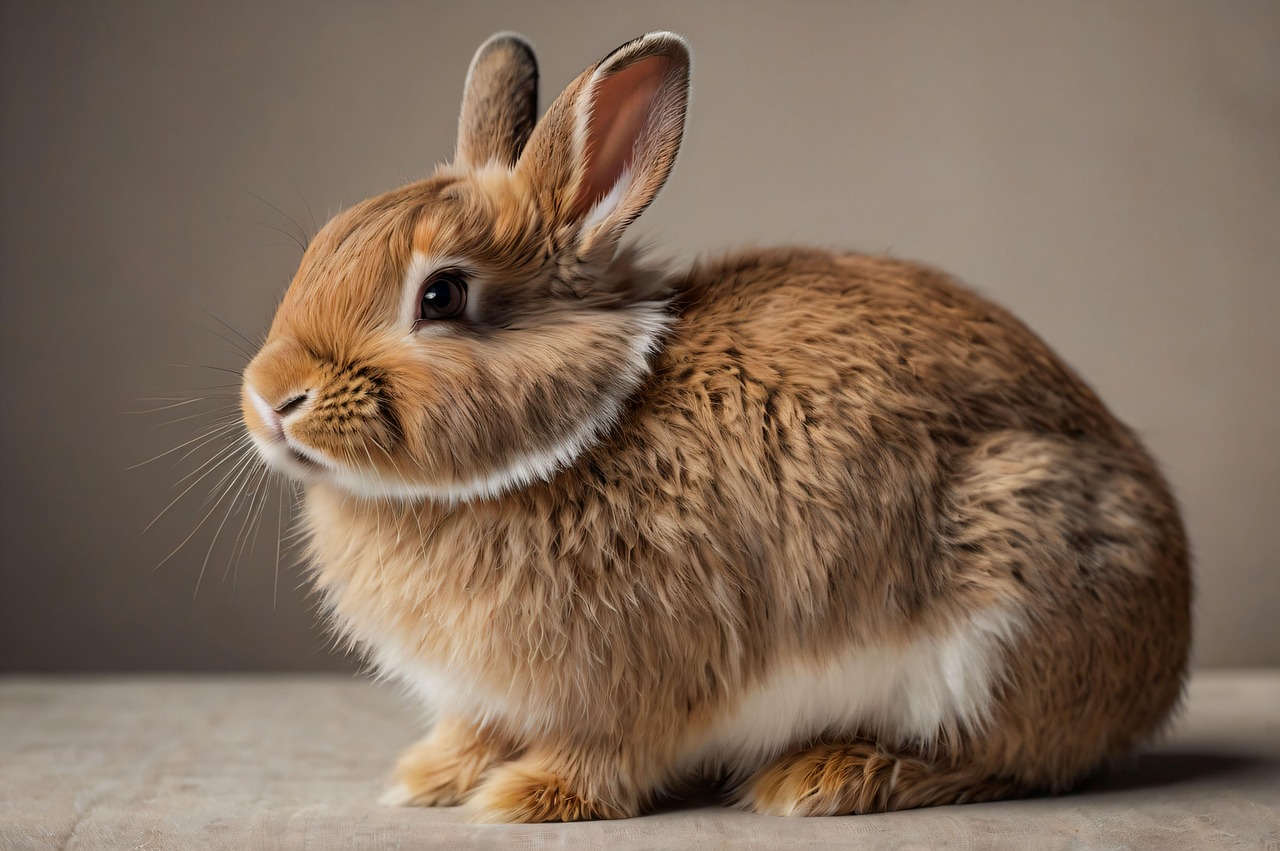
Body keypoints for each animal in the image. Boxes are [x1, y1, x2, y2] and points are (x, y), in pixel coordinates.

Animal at [238, 31, 1191, 822]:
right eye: (325, 242)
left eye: (441, 295)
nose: (270, 398)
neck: (578, 434)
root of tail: (1162, 658)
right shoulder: (491, 696)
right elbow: (477, 729)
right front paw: (428, 778)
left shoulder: (640, 677)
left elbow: (607, 751)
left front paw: (526, 798)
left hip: (1006, 598)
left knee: (1012, 760)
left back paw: (825, 777)